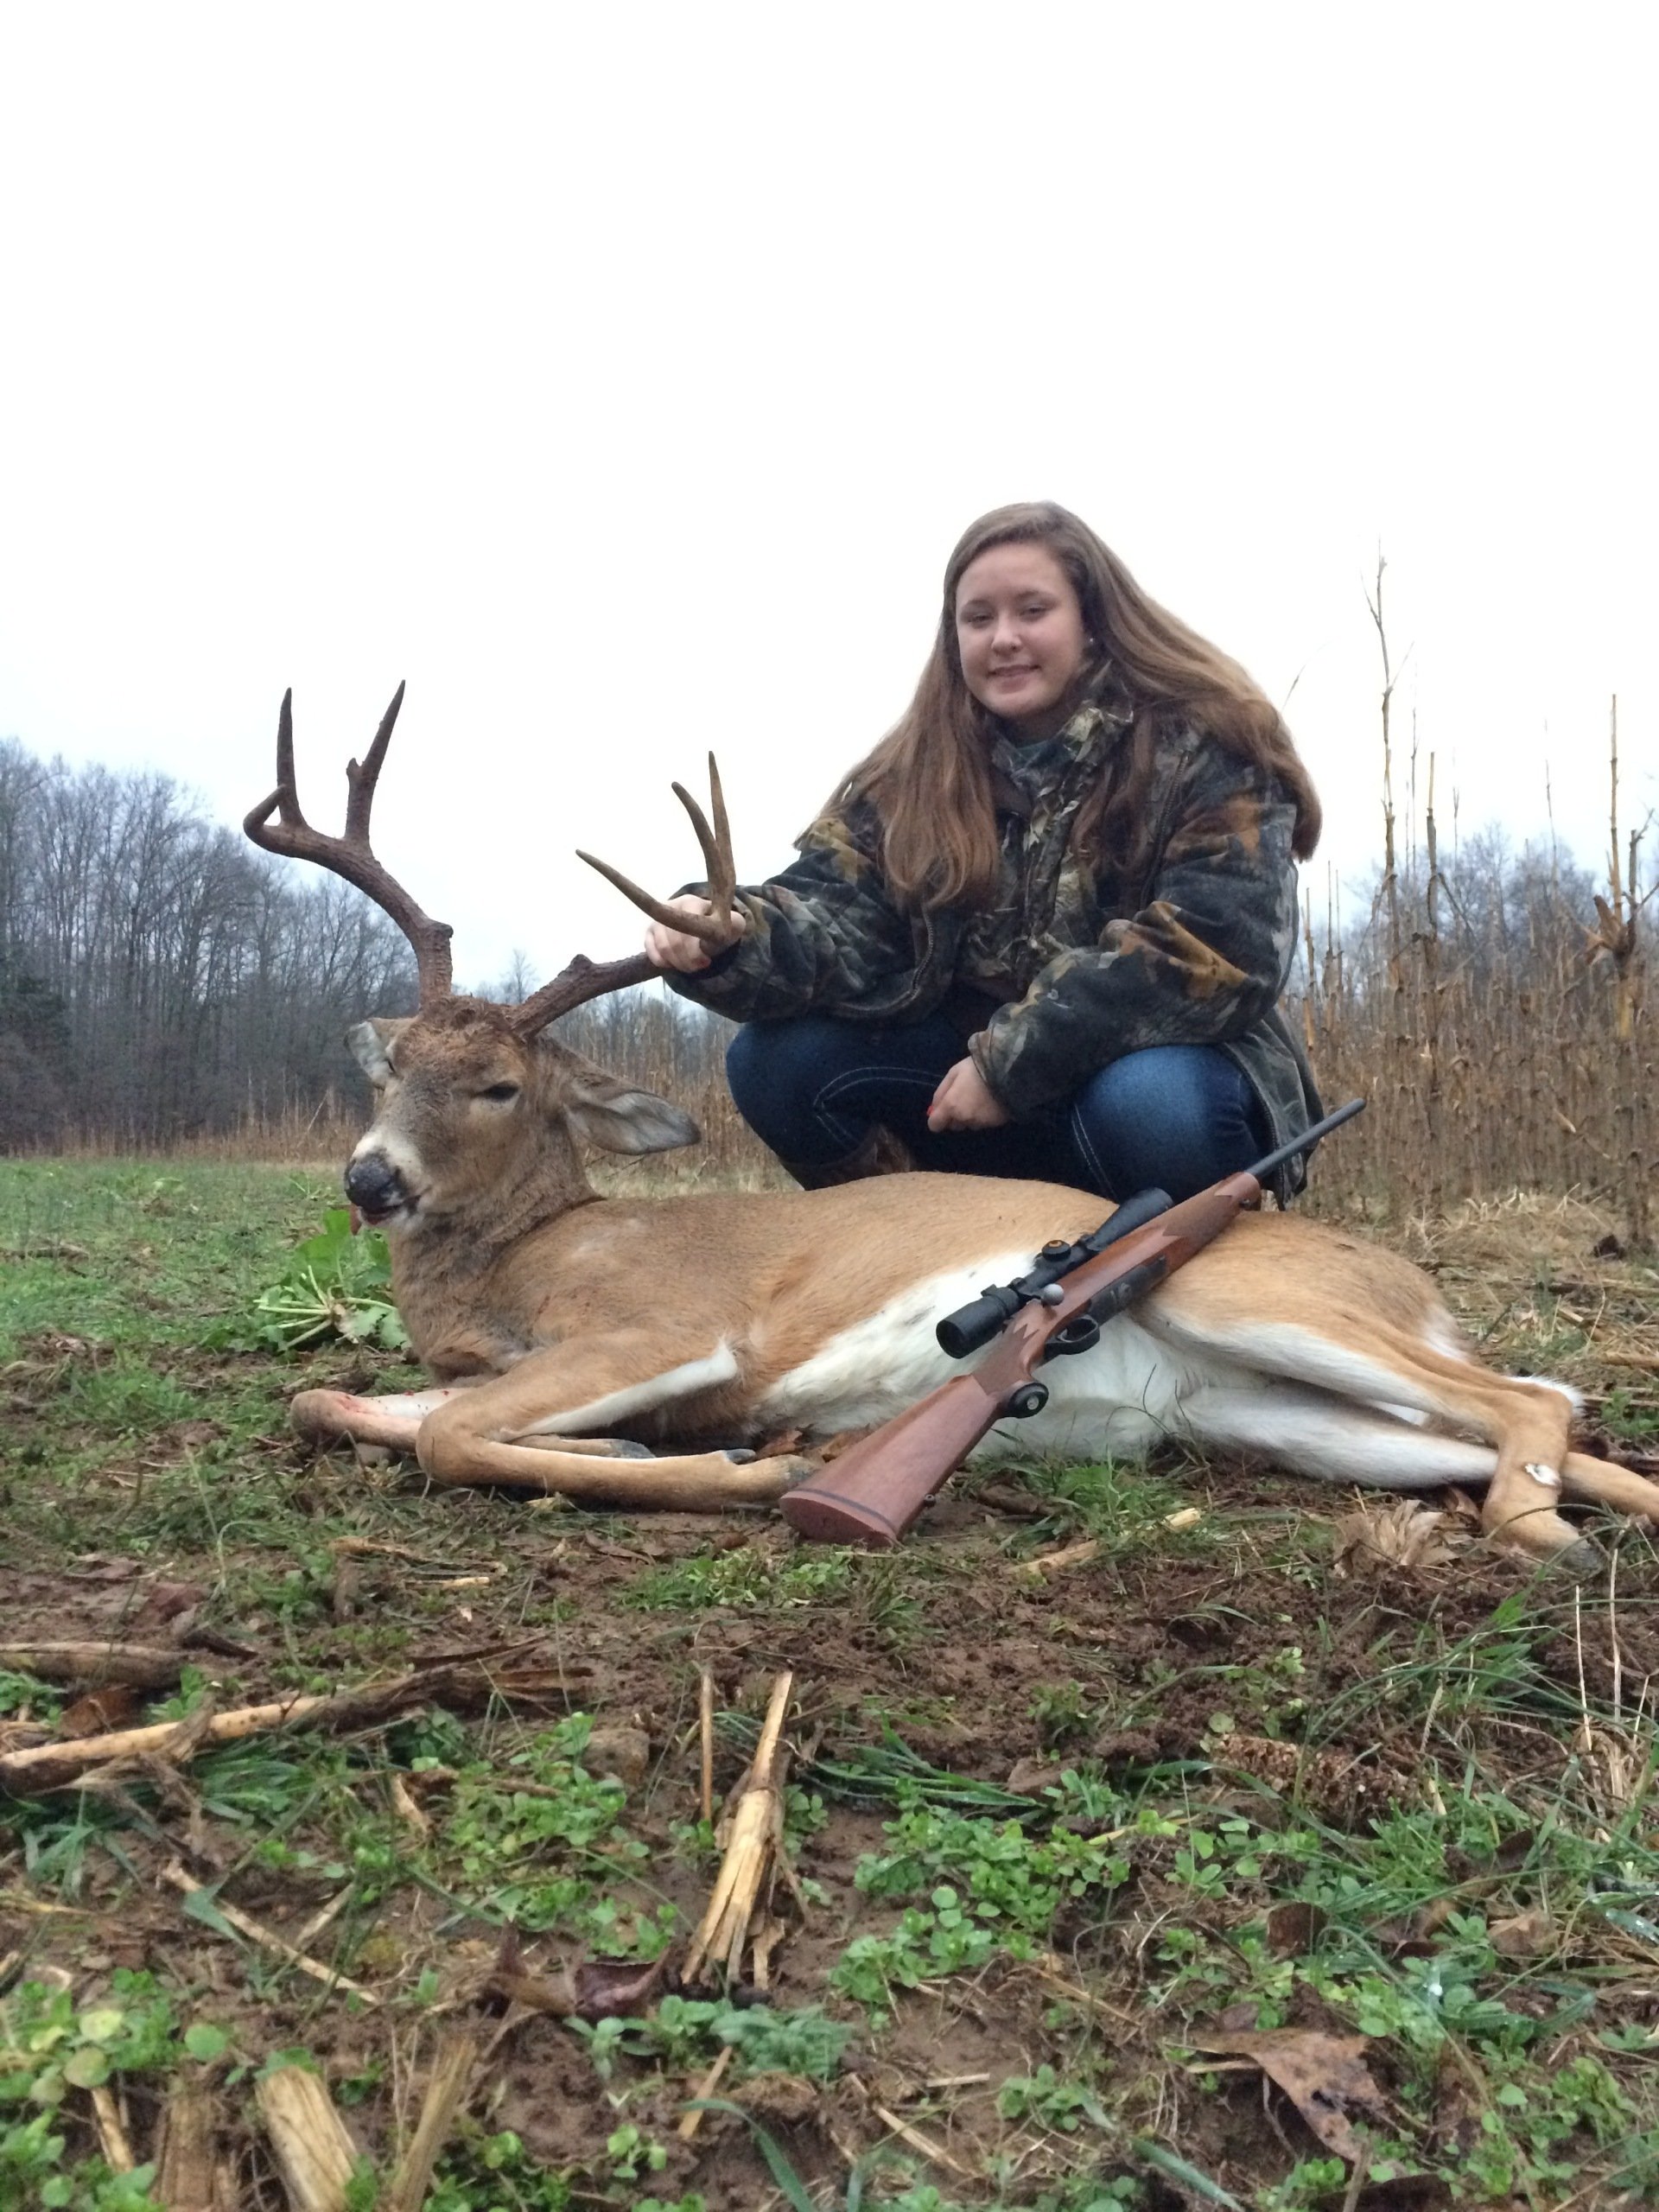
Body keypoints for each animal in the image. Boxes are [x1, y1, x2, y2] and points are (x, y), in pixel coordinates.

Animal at [246, 685, 1659, 1565]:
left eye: (499, 1085)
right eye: (391, 1067)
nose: (369, 1181)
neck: (524, 1261)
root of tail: (1415, 1284)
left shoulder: (665, 1326)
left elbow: (453, 1436)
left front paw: (750, 1466)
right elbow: (333, 1400)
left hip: (1250, 1297)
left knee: (1533, 1395)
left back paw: (1538, 1537)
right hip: (1274, 1414)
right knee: (1508, 1421)